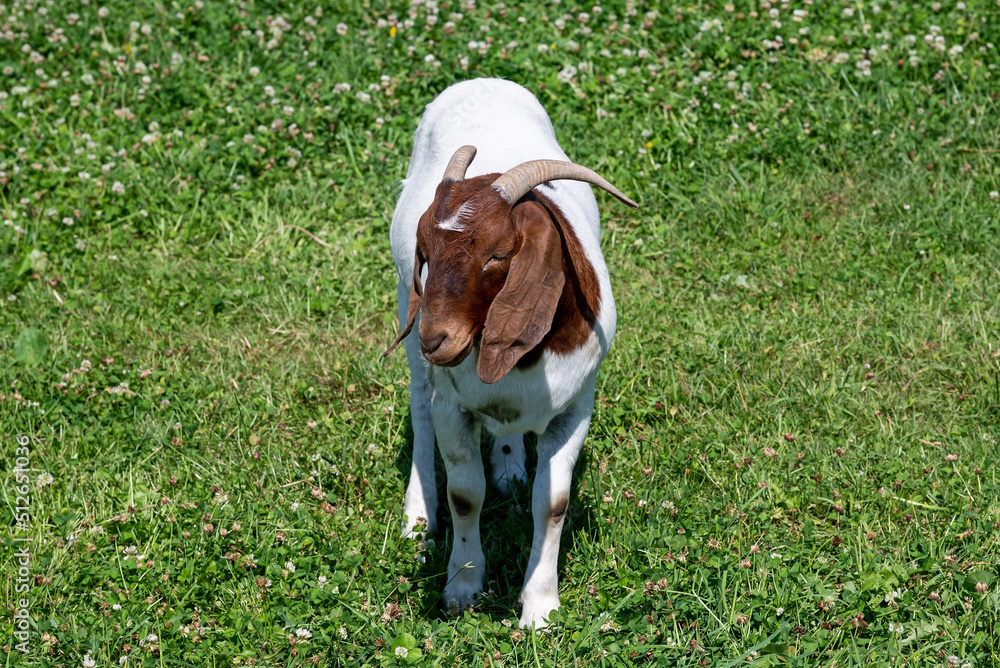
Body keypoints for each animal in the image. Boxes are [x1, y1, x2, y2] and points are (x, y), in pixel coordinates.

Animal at [384, 78, 637, 628]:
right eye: (425, 250)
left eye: (498, 255)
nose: (436, 338)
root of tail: (479, 81)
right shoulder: (452, 405)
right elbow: (464, 495)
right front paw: (462, 587)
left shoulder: (575, 409)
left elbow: (553, 502)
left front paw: (540, 607)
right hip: (404, 316)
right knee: (418, 406)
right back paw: (418, 515)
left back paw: (508, 464)